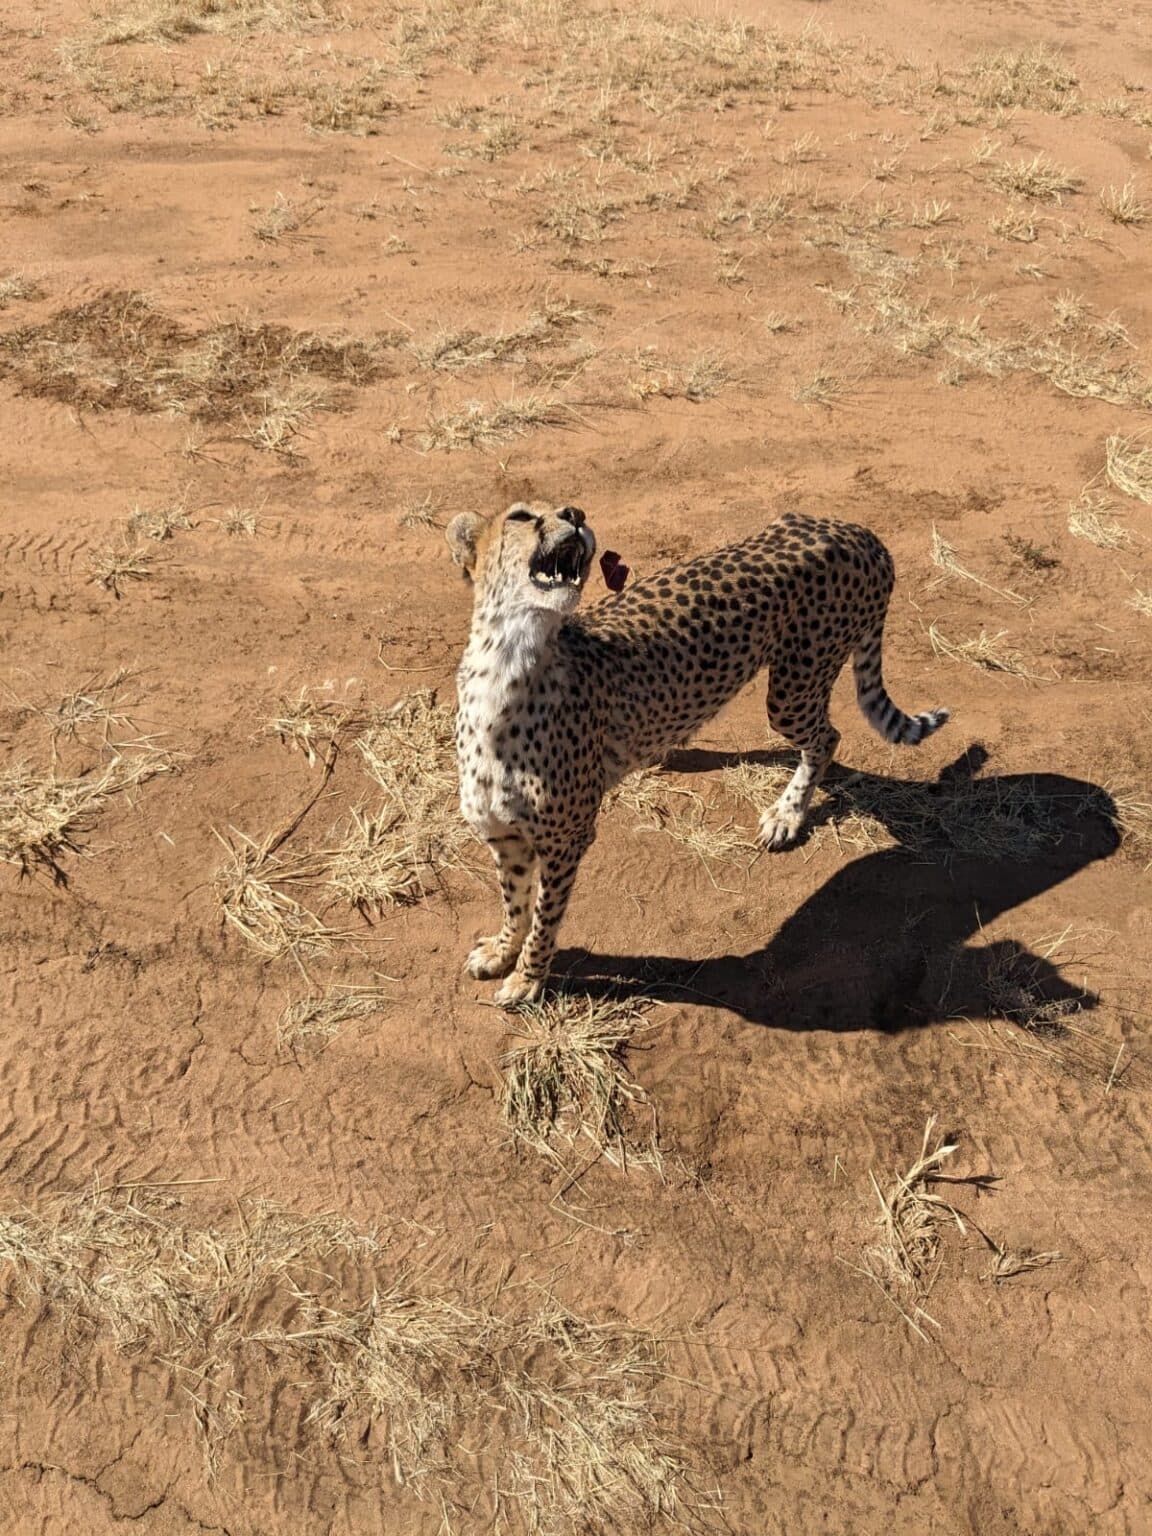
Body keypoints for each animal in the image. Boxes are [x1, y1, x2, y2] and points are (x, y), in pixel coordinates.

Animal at [446, 501, 948, 1007]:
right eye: (520, 516)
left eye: (562, 510)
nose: (575, 513)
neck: (507, 663)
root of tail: (855, 530)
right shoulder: (502, 834)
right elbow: (514, 902)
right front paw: (502, 951)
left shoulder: (567, 838)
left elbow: (544, 916)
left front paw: (528, 978)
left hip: (793, 690)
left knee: (826, 738)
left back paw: (786, 815)